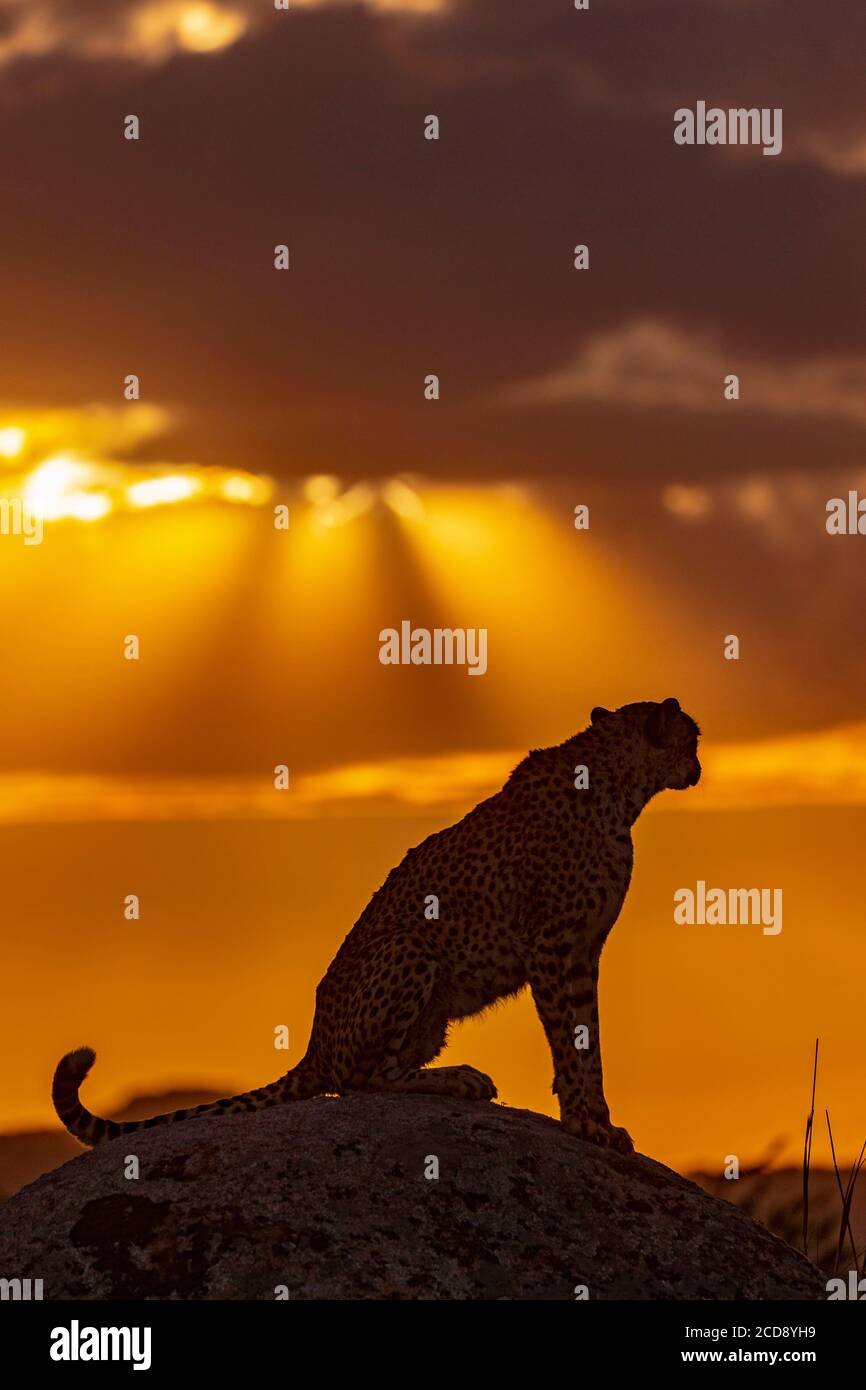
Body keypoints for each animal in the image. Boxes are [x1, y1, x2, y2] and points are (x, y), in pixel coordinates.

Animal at [53, 697, 701, 1154]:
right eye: (692, 735)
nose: (699, 765)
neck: (621, 789)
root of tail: (314, 1044)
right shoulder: (552, 949)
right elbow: (570, 1041)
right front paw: (585, 1123)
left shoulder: (584, 951)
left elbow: (590, 1039)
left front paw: (600, 1120)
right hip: (411, 947)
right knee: (363, 1078)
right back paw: (457, 1079)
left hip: (430, 1015)